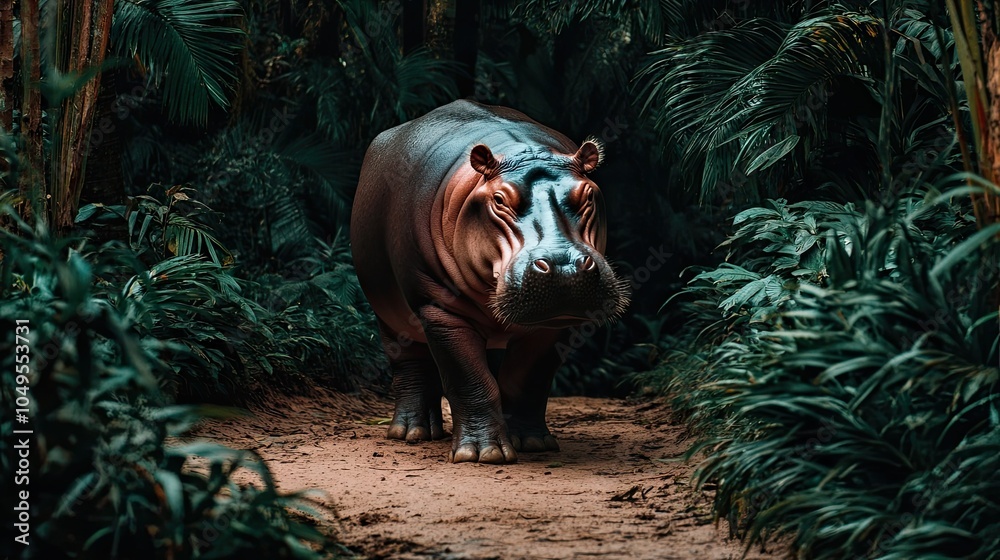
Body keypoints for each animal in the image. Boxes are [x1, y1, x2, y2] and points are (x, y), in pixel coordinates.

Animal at [350, 100, 629, 464]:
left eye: (588, 194)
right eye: (499, 199)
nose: (564, 266)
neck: (522, 150)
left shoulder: (555, 322)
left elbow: (527, 380)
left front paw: (533, 442)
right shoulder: (441, 311)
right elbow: (471, 380)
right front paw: (483, 453)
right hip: (388, 312)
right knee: (410, 364)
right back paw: (411, 433)